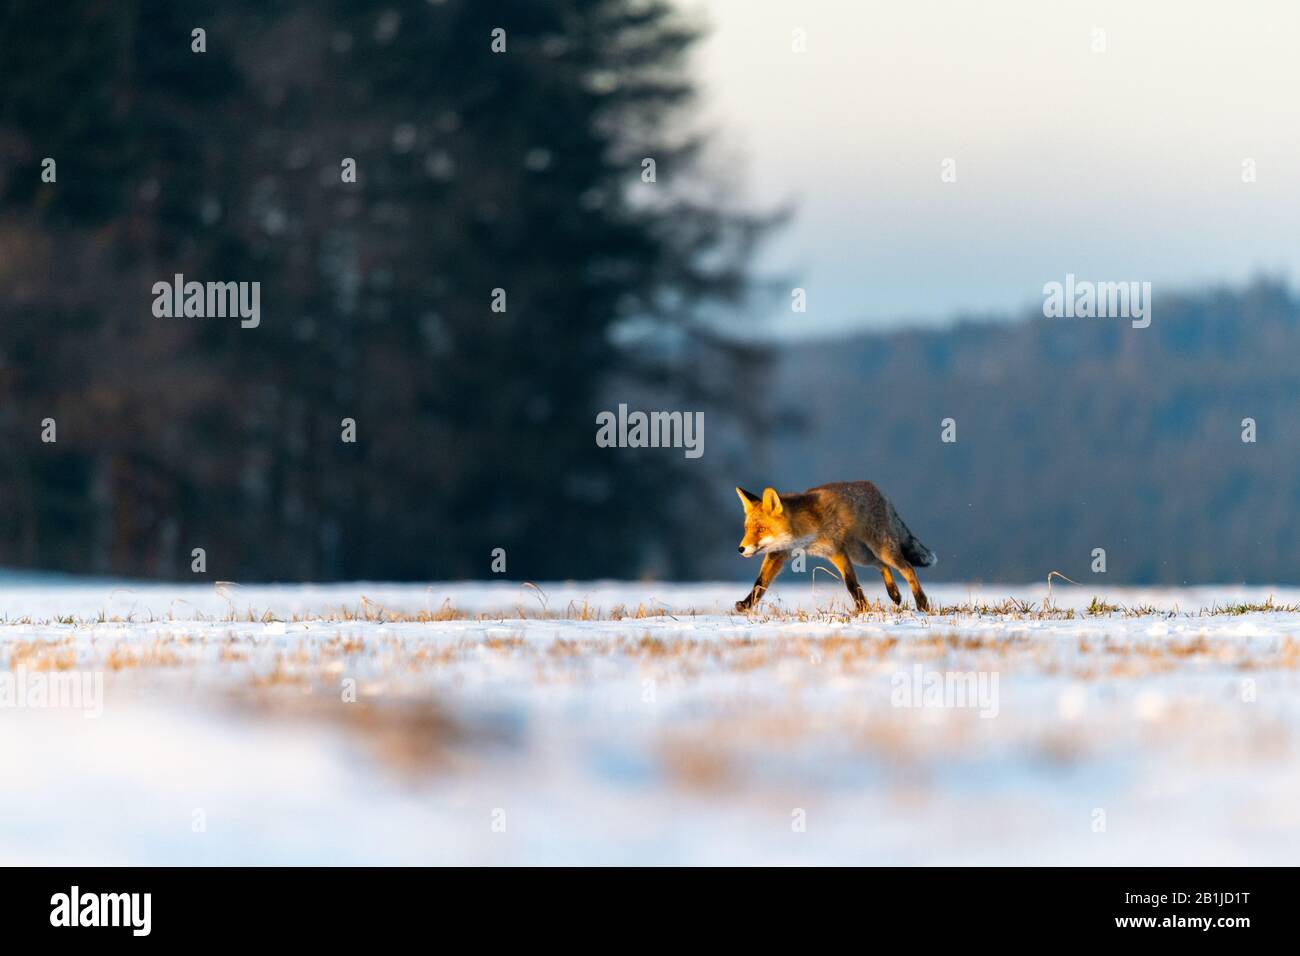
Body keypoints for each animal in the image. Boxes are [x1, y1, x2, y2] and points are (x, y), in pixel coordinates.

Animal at [734, 481, 937, 613]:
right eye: (747, 529)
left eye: (761, 529)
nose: (741, 549)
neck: (802, 535)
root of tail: (879, 491)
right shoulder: (778, 553)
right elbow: (759, 584)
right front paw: (745, 605)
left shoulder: (835, 550)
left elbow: (851, 584)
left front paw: (863, 609)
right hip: (862, 555)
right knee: (883, 565)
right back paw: (894, 593)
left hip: (881, 548)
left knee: (907, 568)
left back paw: (922, 603)